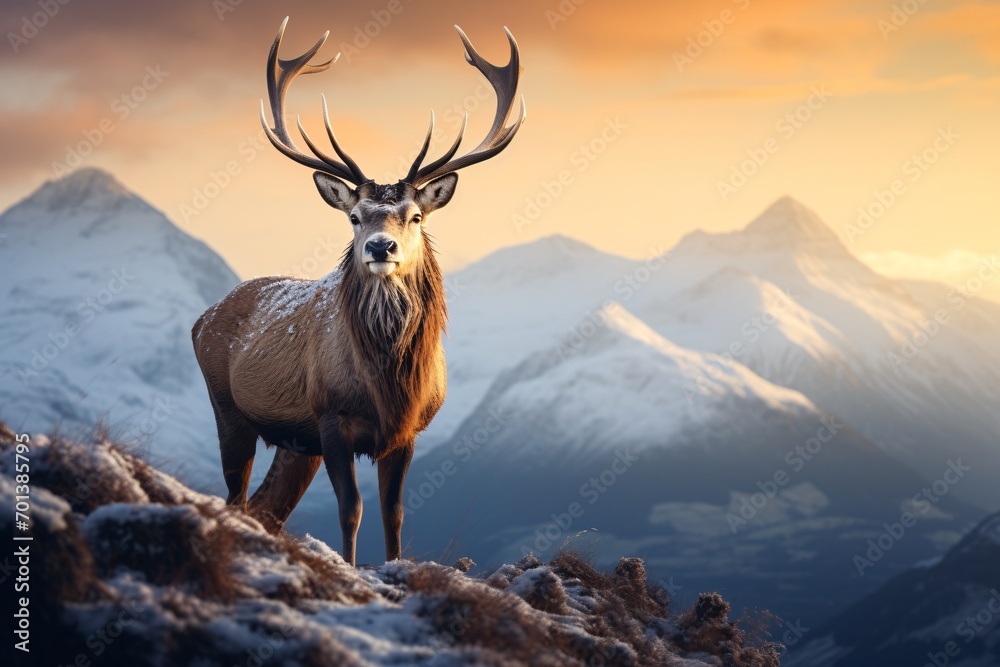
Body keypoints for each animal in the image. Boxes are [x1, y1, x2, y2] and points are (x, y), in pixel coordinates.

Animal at [192, 17, 524, 566]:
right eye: (354, 216)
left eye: (415, 215)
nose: (380, 246)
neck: (388, 382)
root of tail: (203, 317)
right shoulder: (331, 417)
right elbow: (352, 509)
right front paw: (348, 566)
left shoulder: (408, 431)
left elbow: (395, 515)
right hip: (229, 408)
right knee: (235, 495)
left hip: (294, 442)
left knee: (265, 505)